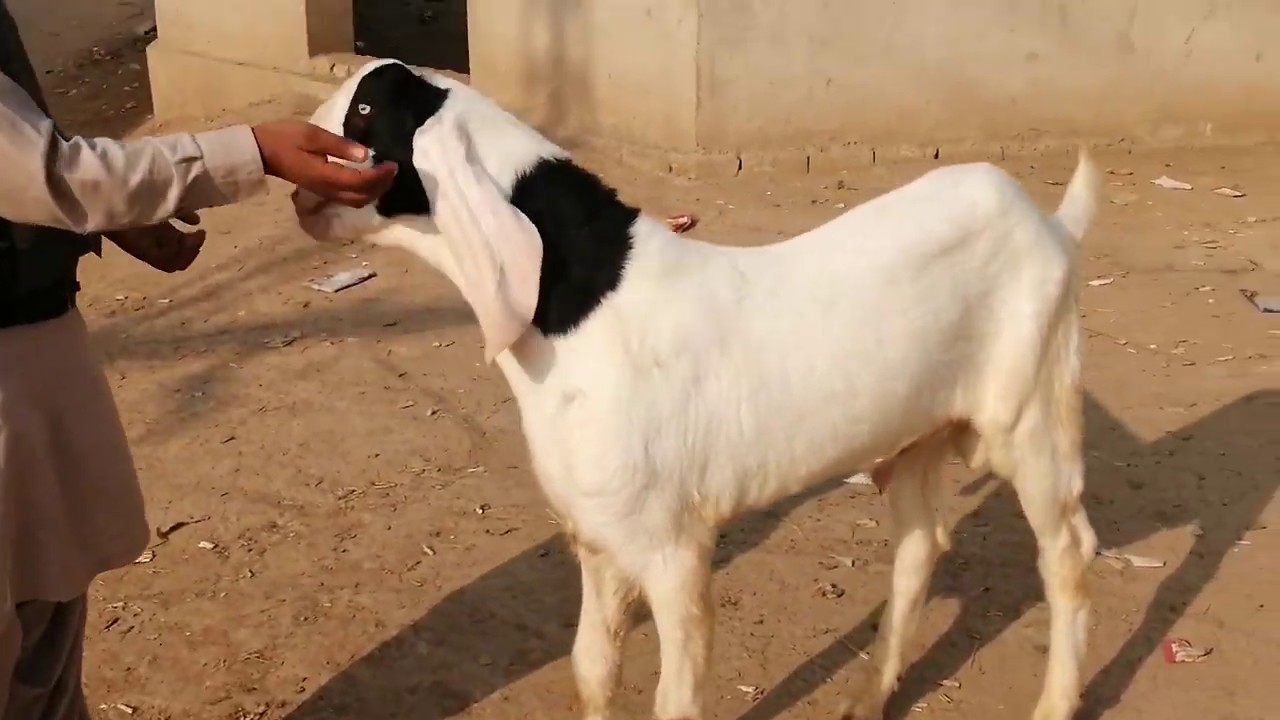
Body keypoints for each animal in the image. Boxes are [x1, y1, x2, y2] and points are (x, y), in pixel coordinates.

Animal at [294, 58, 1103, 720]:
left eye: (364, 110)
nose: (298, 171)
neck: (589, 307)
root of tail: (1051, 224)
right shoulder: (598, 539)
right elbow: (591, 670)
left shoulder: (675, 548)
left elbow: (674, 698)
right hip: (914, 434)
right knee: (918, 546)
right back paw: (868, 700)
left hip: (1031, 410)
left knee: (1067, 551)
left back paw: (1055, 702)